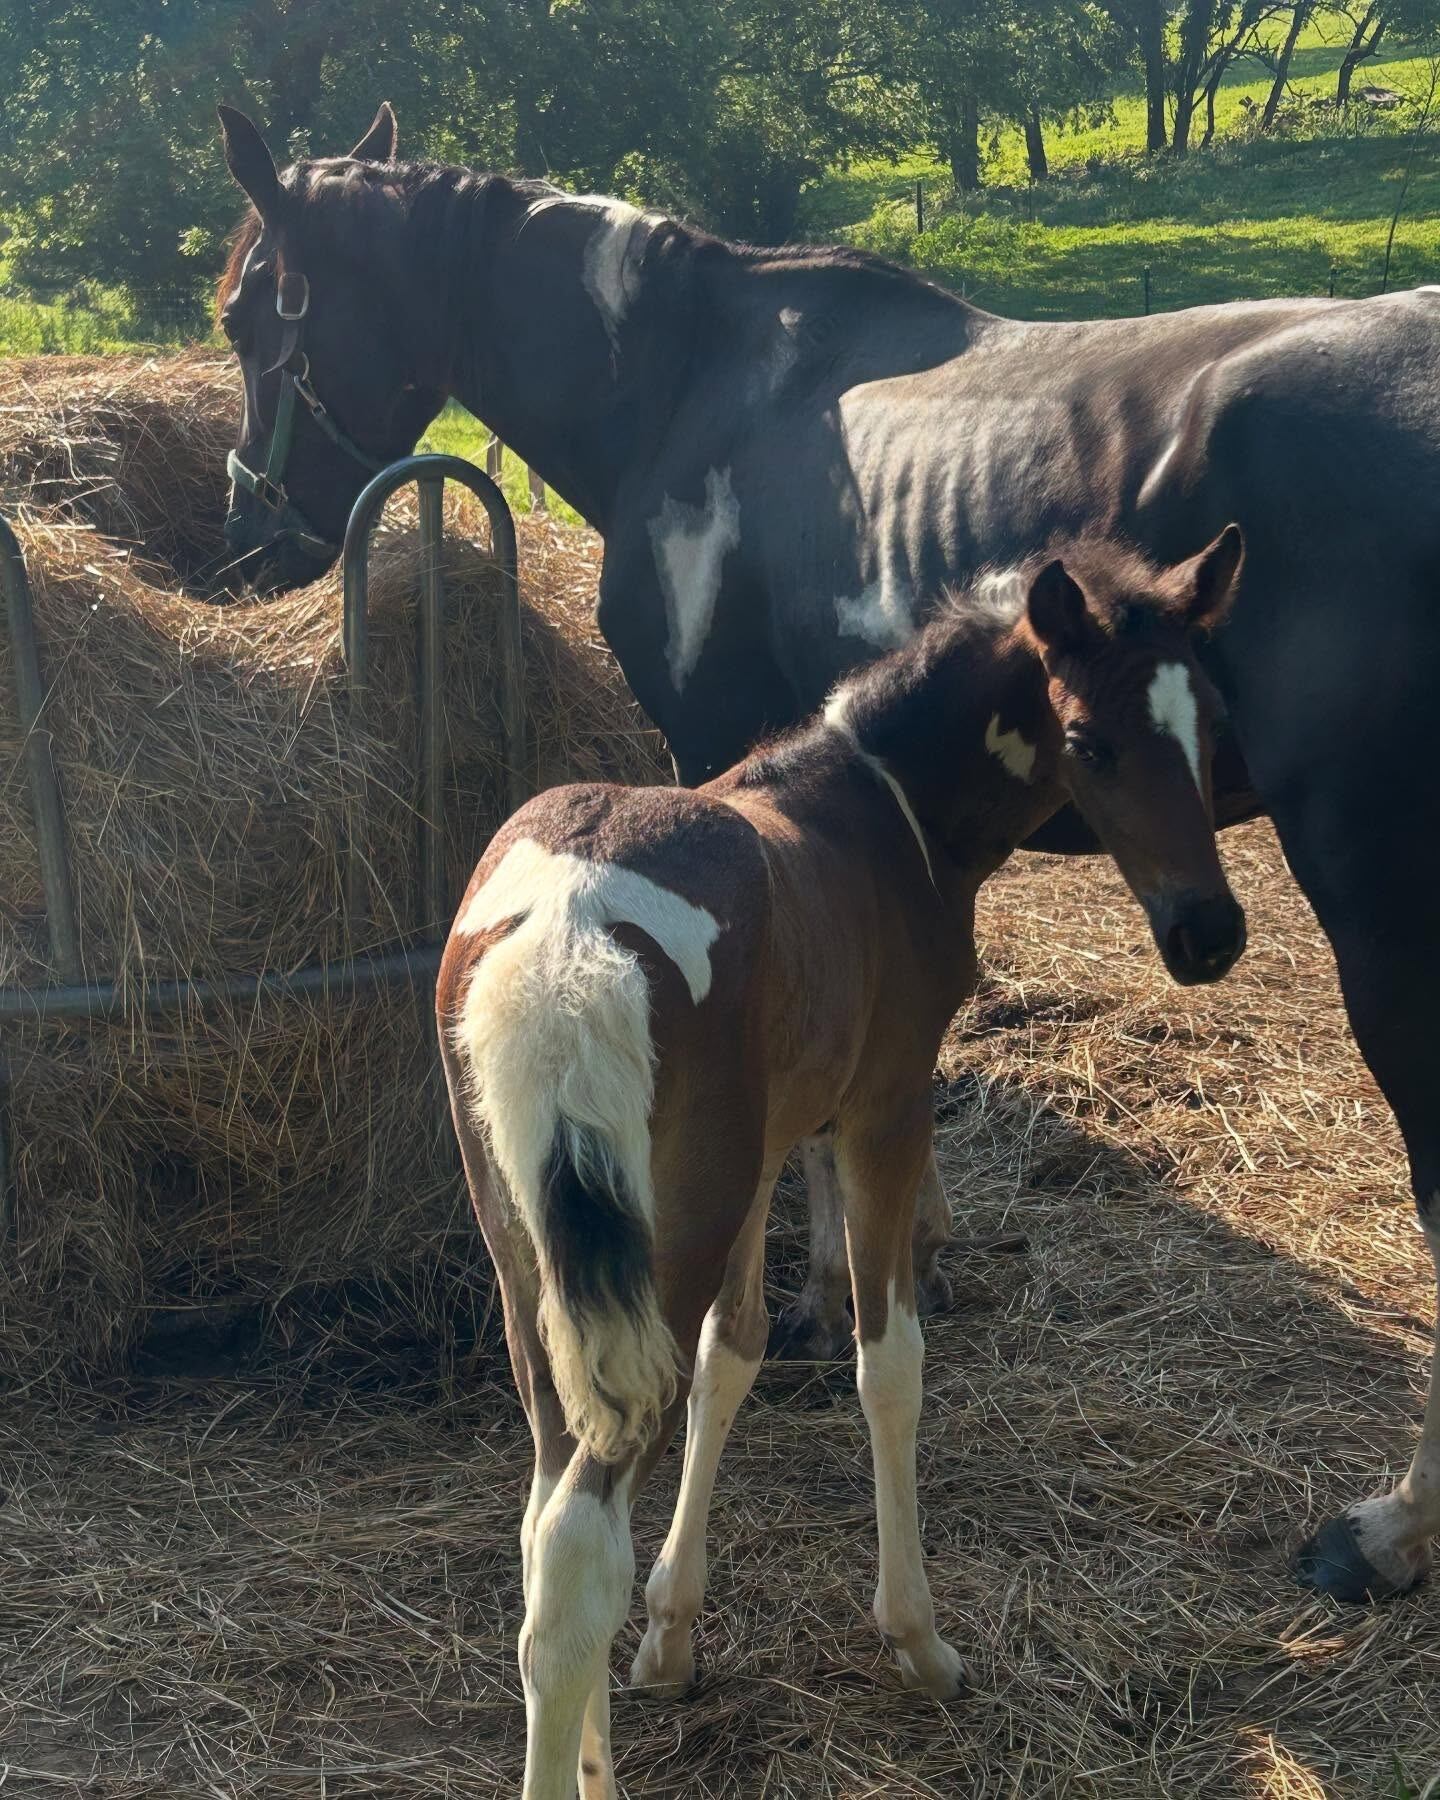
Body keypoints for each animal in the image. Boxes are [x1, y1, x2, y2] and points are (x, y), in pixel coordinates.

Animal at [216, 103, 1440, 1608]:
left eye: (243, 313)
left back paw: (1388, 1527)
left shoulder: (720, 756)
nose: (247, 533)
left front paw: (810, 1296)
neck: (691, 379)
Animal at [437, 532, 1245, 1798]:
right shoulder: (883, 1112)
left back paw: (596, 1759)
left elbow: (731, 1357)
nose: (1209, 933)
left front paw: (670, 1636)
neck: (884, 808)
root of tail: (569, 936)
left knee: (547, 1512)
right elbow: (887, 1364)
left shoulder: (769, 1150)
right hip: (665, 1237)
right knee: (573, 1545)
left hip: (540, 1260)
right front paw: (918, 1640)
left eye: (1204, 715)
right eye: (1090, 742)